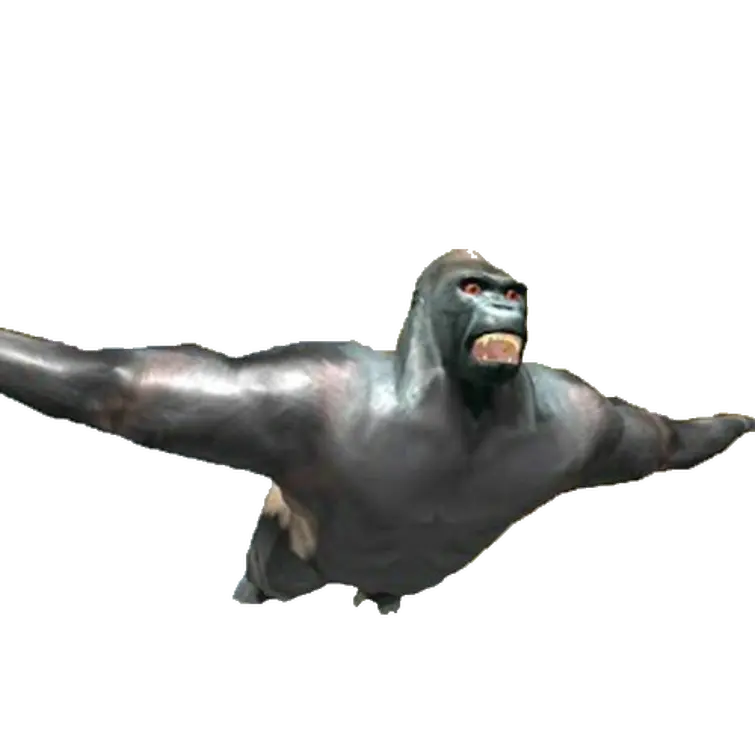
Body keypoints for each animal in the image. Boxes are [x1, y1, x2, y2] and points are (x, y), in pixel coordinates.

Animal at [1, 247, 752, 613]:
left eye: (513, 294)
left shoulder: (587, 420)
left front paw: (729, 424)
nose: (507, 312)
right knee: (267, 569)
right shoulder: (297, 392)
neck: (462, 409)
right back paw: (251, 592)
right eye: (474, 290)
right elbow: (126, 389)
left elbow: (654, 437)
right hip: (289, 549)